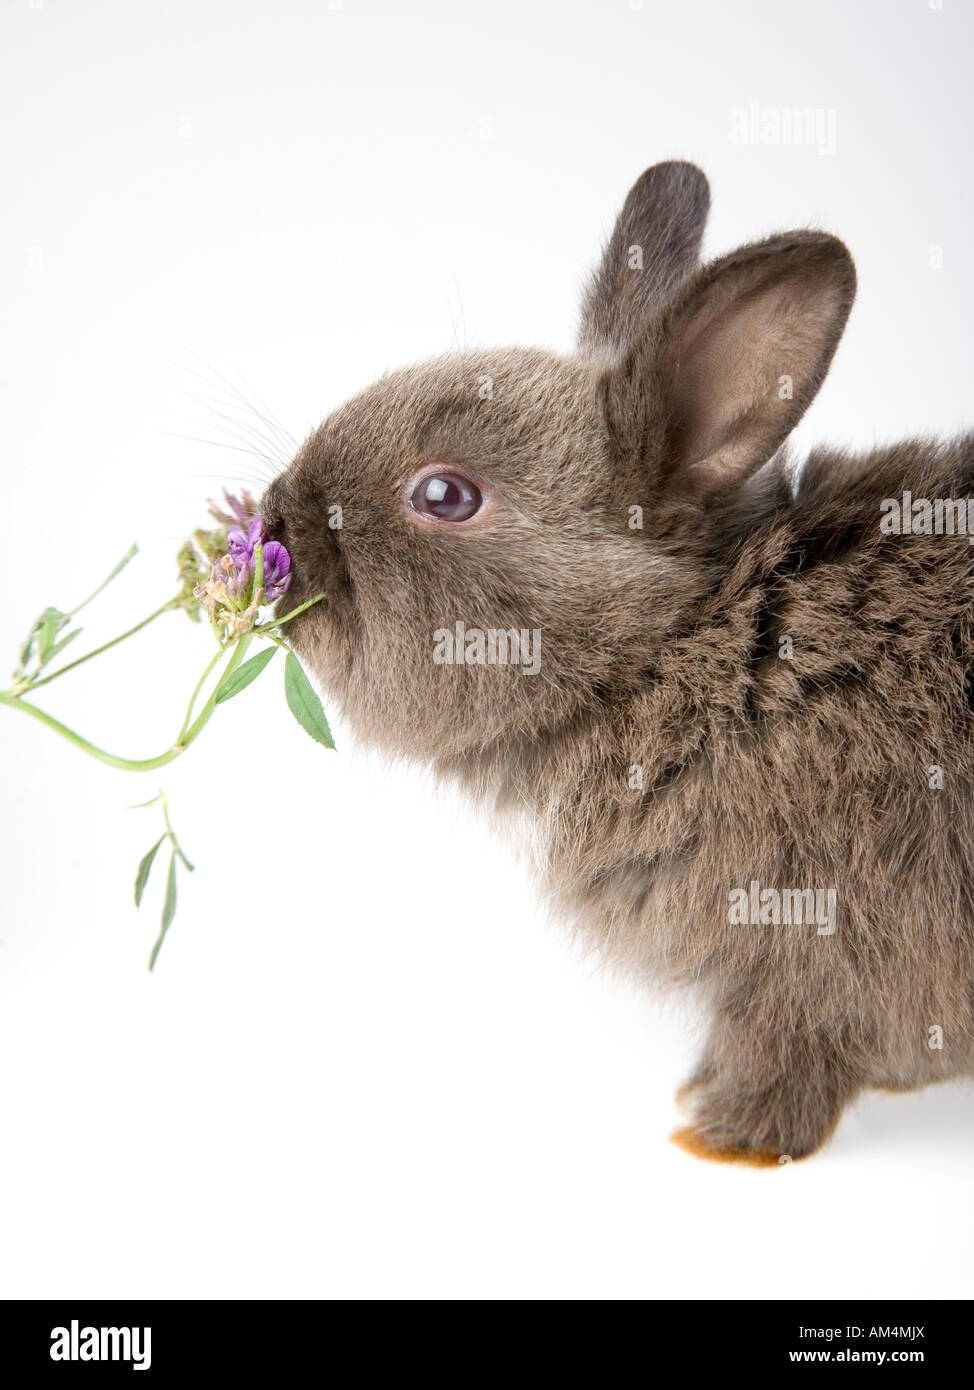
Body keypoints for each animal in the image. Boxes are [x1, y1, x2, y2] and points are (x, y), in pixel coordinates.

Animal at [261, 161, 974, 1163]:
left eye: (445, 496)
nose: (272, 526)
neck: (687, 650)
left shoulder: (813, 944)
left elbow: (790, 1057)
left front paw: (722, 1133)